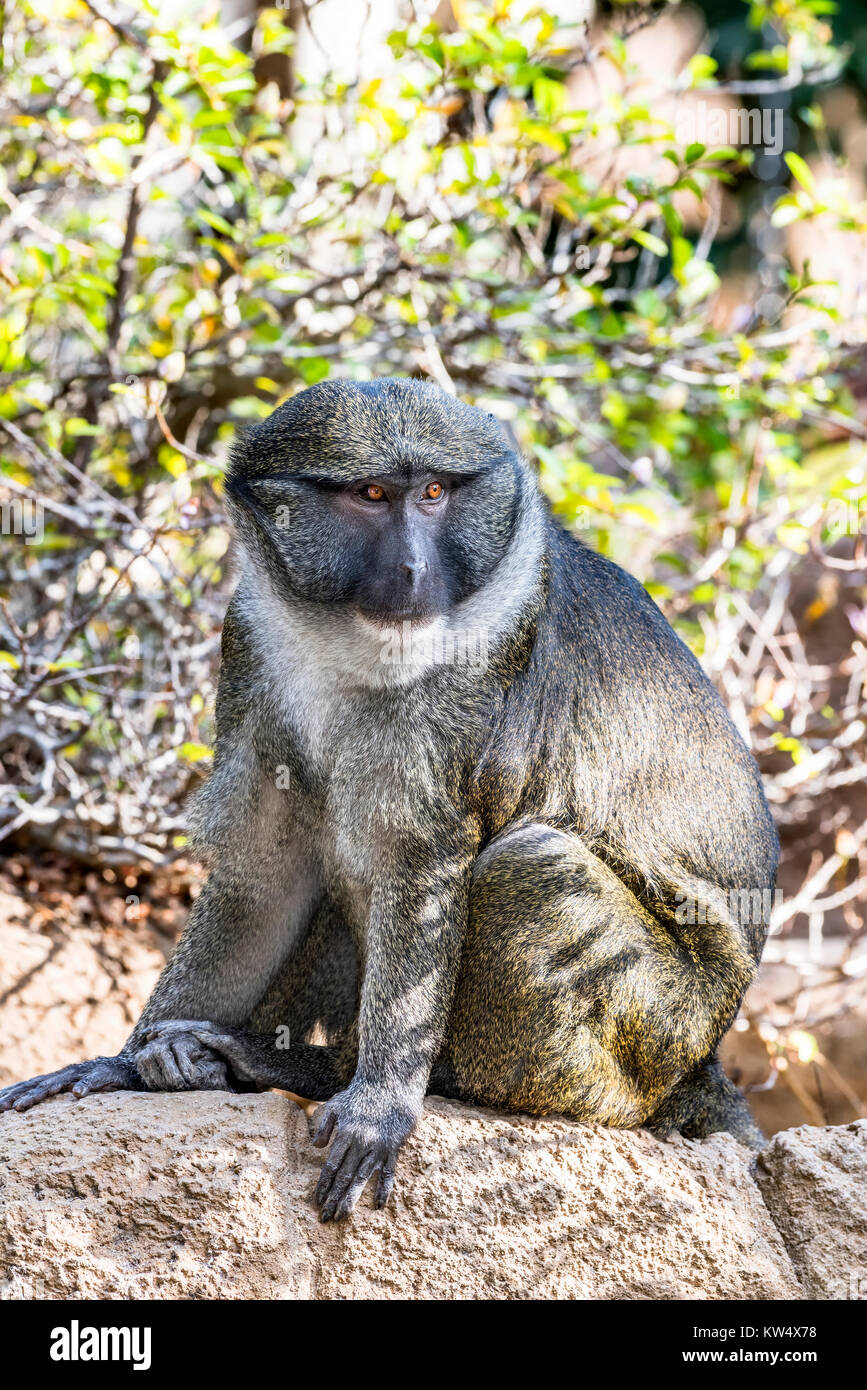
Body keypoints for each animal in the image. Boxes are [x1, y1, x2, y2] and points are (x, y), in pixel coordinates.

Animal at [0, 377, 778, 1222]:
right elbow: (264, 876)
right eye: (370, 496)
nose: (411, 568)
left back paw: (334, 1073)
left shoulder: (465, 687)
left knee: (533, 867)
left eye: (434, 494)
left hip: (651, 1037)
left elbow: (423, 868)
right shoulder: (248, 643)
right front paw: (123, 1063)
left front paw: (379, 1101)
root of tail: (701, 1067)